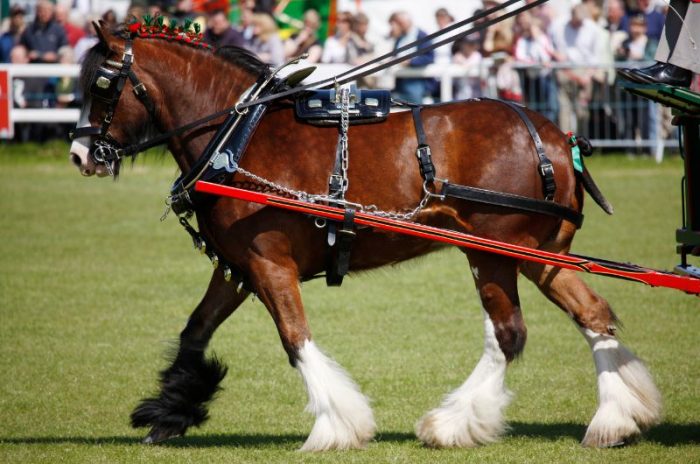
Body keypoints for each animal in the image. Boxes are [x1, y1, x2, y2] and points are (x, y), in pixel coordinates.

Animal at [69, 22, 661, 451]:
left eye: (102, 84)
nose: (80, 155)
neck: (237, 136)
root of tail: (557, 137)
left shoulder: (269, 263)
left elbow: (295, 338)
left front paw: (336, 425)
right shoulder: (238, 267)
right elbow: (196, 329)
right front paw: (169, 411)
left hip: (493, 251)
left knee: (509, 333)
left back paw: (452, 423)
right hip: (541, 255)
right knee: (592, 314)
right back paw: (614, 420)